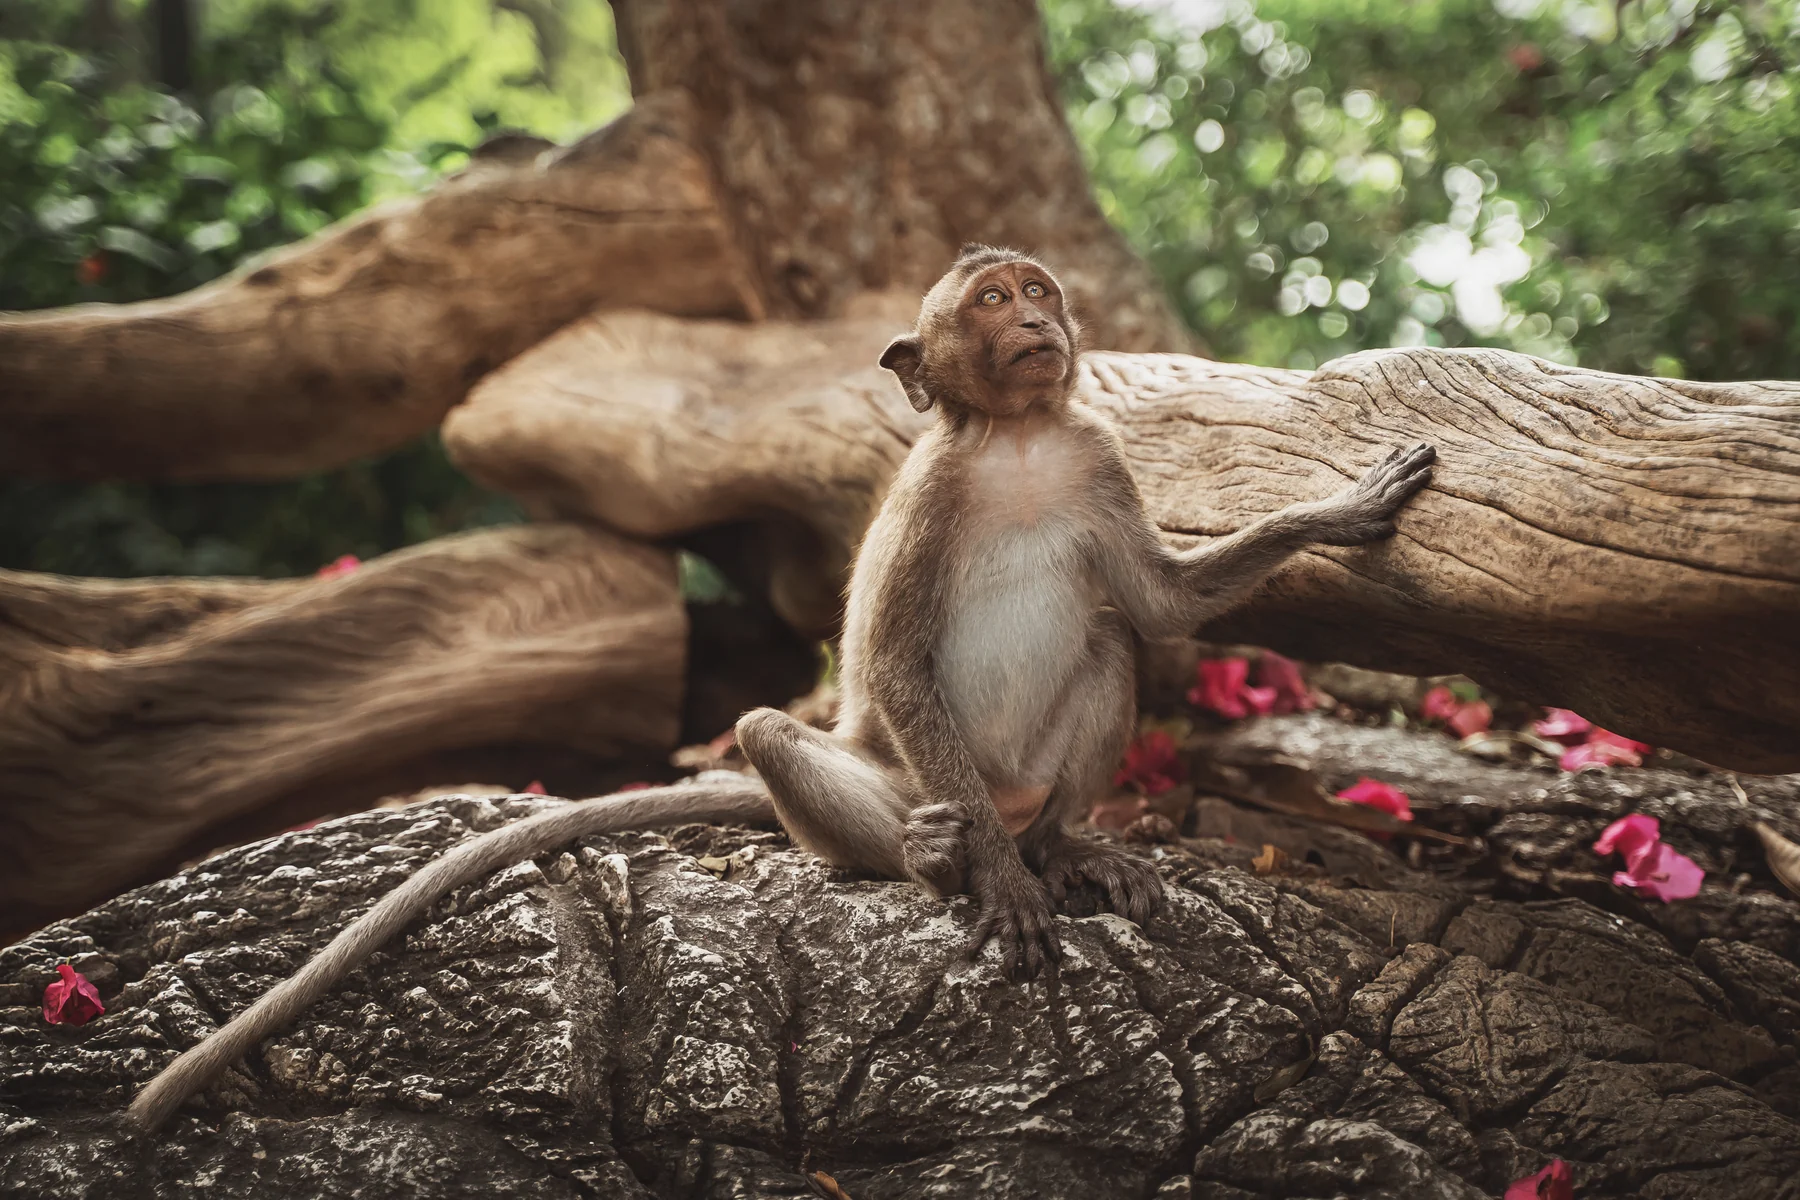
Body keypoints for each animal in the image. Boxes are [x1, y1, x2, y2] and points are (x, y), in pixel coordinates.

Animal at [123, 245, 1433, 1134]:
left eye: (1036, 290)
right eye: (991, 301)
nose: (1036, 317)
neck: (1016, 441)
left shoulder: (1094, 455)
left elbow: (1158, 608)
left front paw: (1345, 510)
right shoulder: (930, 494)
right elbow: (895, 660)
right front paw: (1003, 892)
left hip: (1024, 774)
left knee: (1108, 644)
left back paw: (1064, 847)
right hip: (903, 768)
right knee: (787, 739)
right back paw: (944, 859)